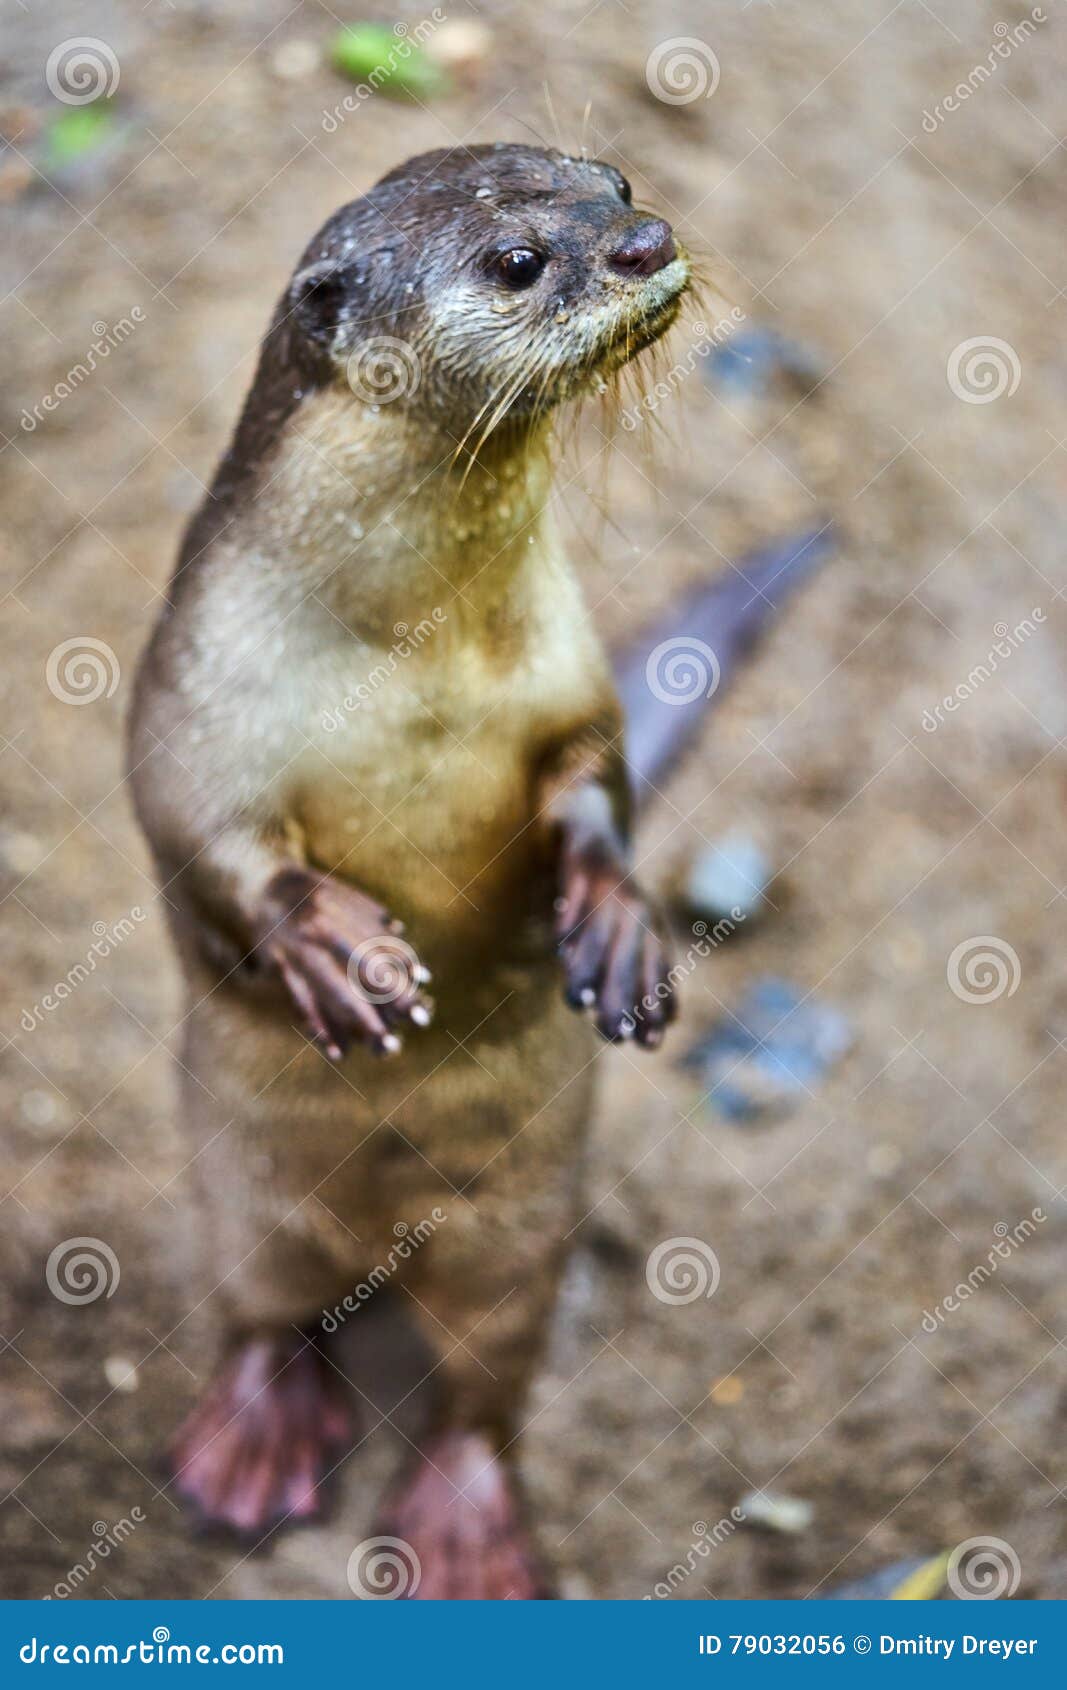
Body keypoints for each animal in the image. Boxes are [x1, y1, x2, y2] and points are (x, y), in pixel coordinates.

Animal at [129, 142, 694, 1599]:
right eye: (515, 261)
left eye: (612, 178)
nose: (647, 238)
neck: (407, 667)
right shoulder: (194, 689)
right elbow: (200, 829)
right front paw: (332, 944)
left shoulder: (567, 680)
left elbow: (592, 777)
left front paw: (613, 919)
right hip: (243, 1185)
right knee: (263, 1307)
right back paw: (250, 1448)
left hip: (520, 1221)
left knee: (482, 1380)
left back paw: (464, 1530)